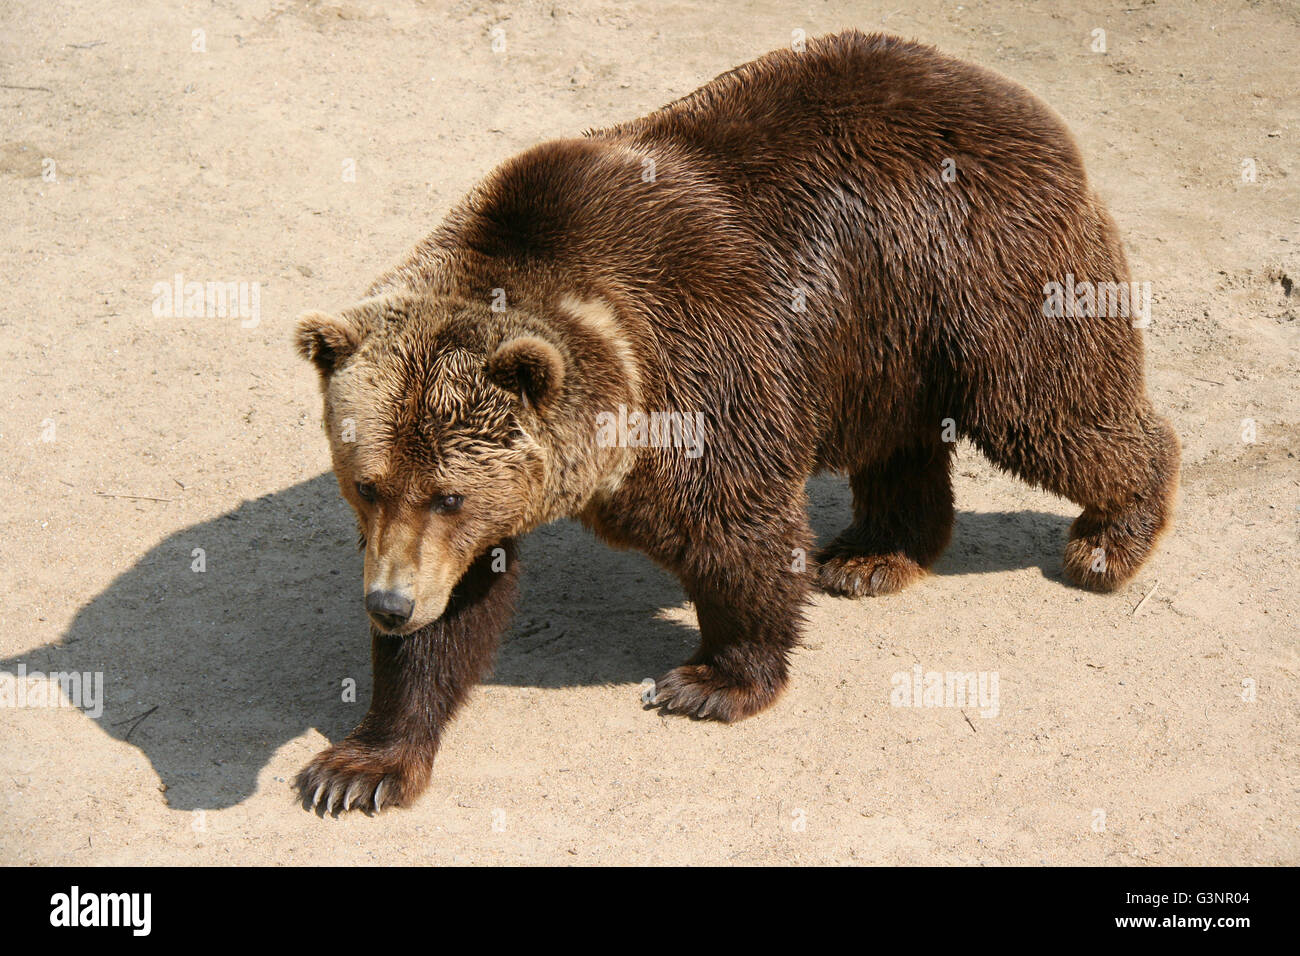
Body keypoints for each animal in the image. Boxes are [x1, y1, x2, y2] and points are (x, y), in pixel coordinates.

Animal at [293, 30, 1179, 813]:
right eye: (367, 486)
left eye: (449, 494)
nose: (388, 605)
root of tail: (1011, 94)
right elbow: (459, 609)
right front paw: (361, 766)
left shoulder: (702, 365)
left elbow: (734, 532)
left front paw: (712, 681)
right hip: (886, 335)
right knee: (905, 441)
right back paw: (873, 555)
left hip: (983, 273)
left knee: (1051, 409)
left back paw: (1110, 536)